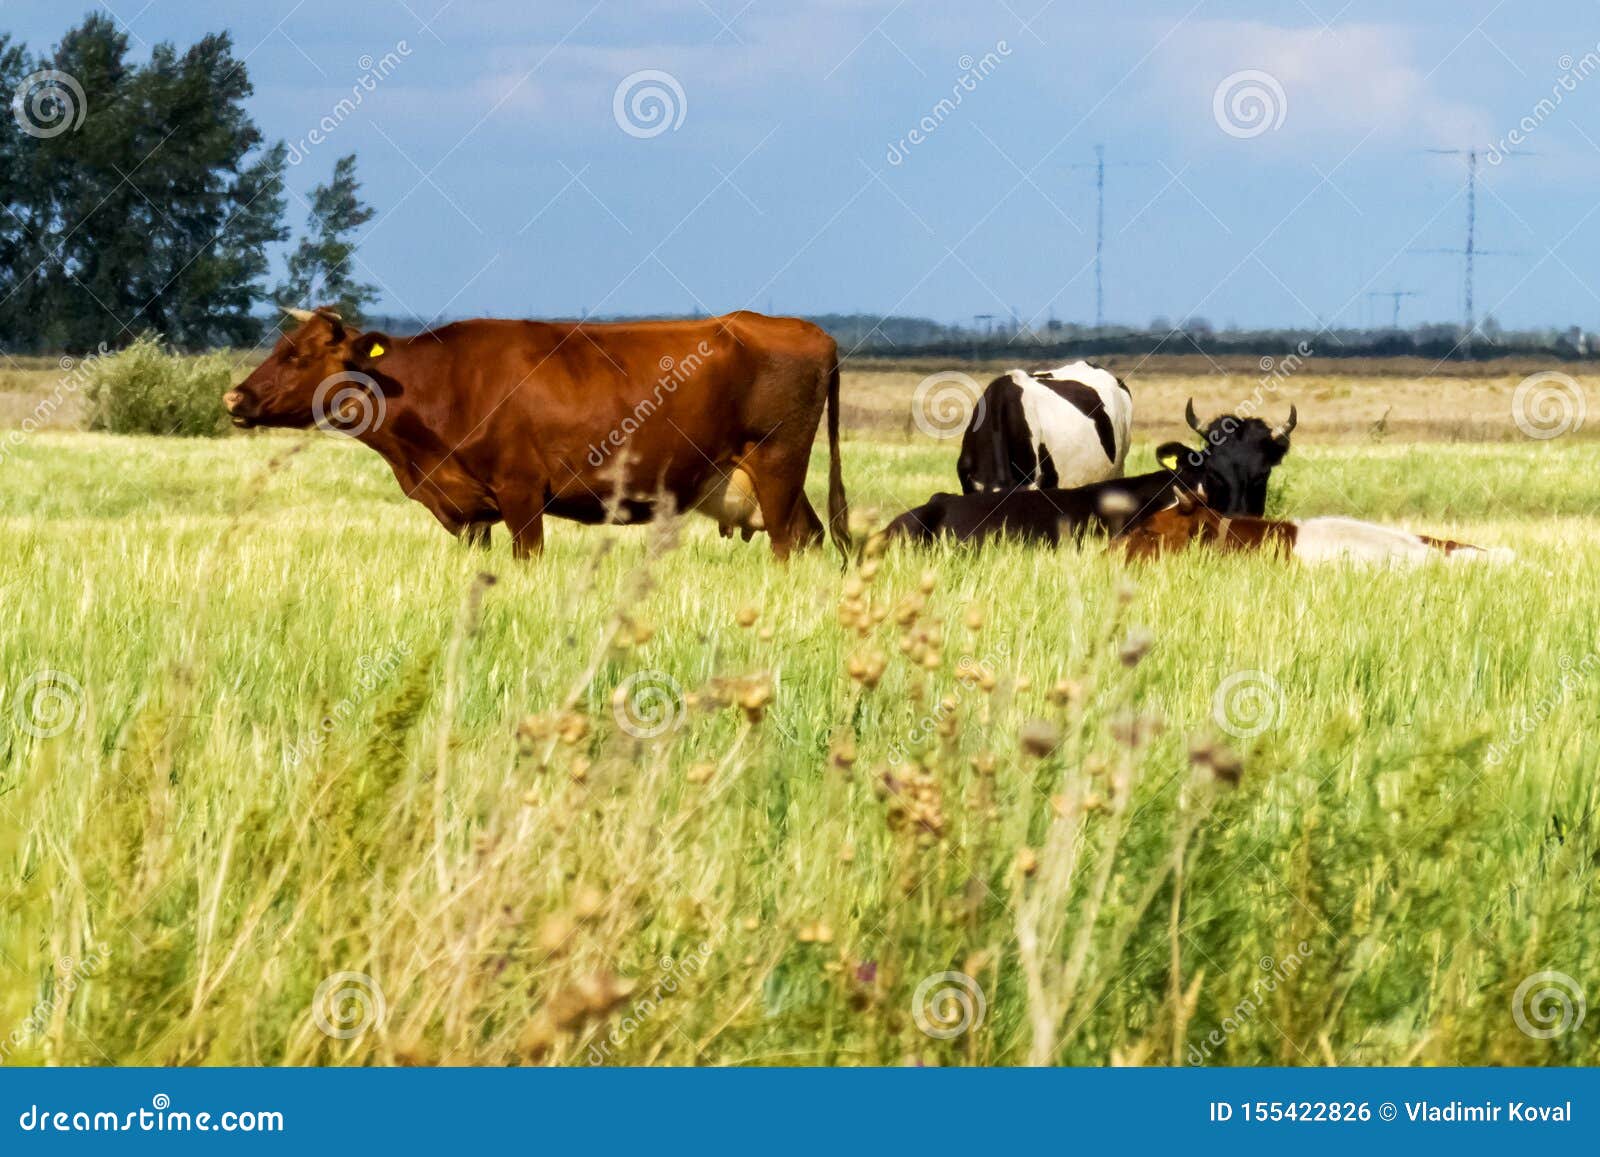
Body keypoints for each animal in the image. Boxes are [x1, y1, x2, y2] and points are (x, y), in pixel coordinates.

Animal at [223, 307, 849, 560]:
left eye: (299, 355)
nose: (235, 398)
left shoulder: (521, 491)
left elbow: (528, 556)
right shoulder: (471, 511)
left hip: (777, 464)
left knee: (789, 543)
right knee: (812, 537)